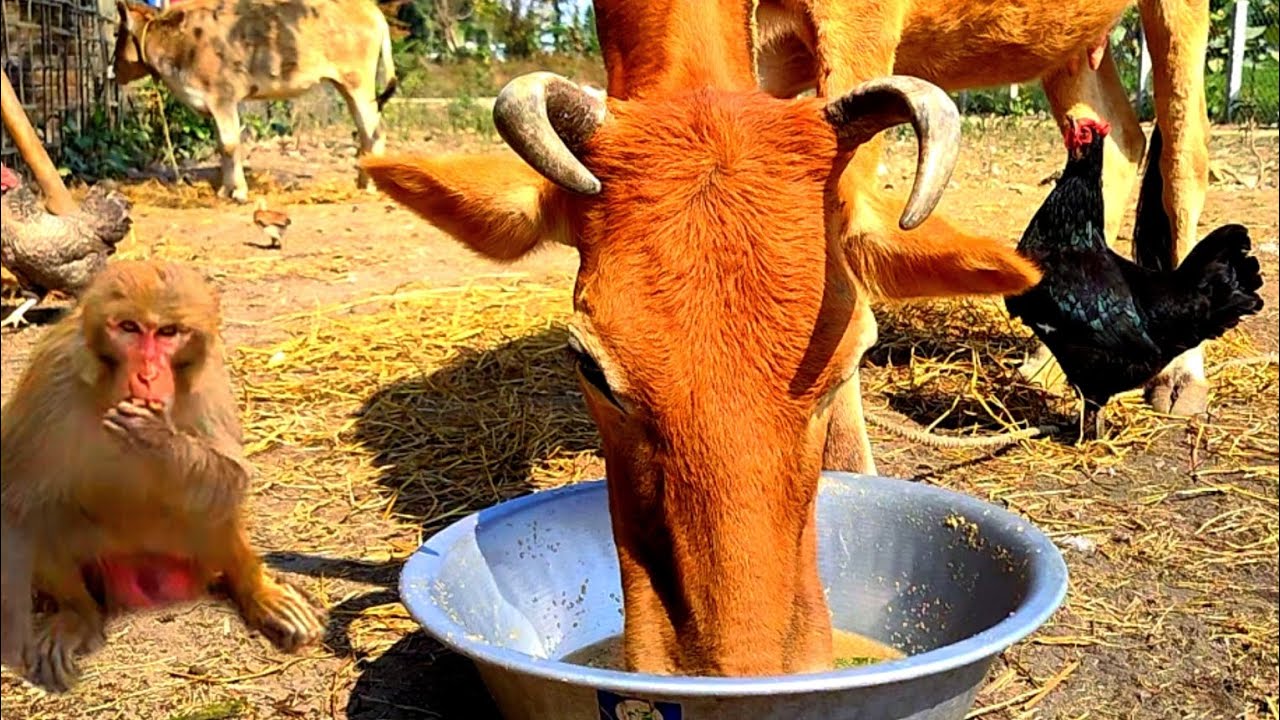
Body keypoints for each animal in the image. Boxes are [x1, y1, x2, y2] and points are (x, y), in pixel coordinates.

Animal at [0, 260, 326, 693]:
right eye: (129, 328)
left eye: (169, 333)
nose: (148, 374)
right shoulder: (53, 373)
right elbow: (16, 498)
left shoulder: (208, 373)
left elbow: (233, 478)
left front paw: (156, 438)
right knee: (42, 512)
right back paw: (78, 614)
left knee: (209, 505)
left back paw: (256, 591)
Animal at [111, 0, 398, 203]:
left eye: (117, 33)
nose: (113, 70)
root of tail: (371, 10)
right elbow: (222, 146)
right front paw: (225, 190)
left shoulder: (222, 97)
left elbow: (229, 145)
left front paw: (238, 192)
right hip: (348, 87)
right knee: (364, 132)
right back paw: (362, 182)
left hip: (359, 84)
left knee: (375, 131)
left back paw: (372, 186)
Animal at [752, 0, 1214, 416]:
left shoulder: (859, 25)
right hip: (1073, 43)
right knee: (1119, 136)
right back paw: (1048, 364)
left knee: (1184, 158)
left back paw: (1181, 376)